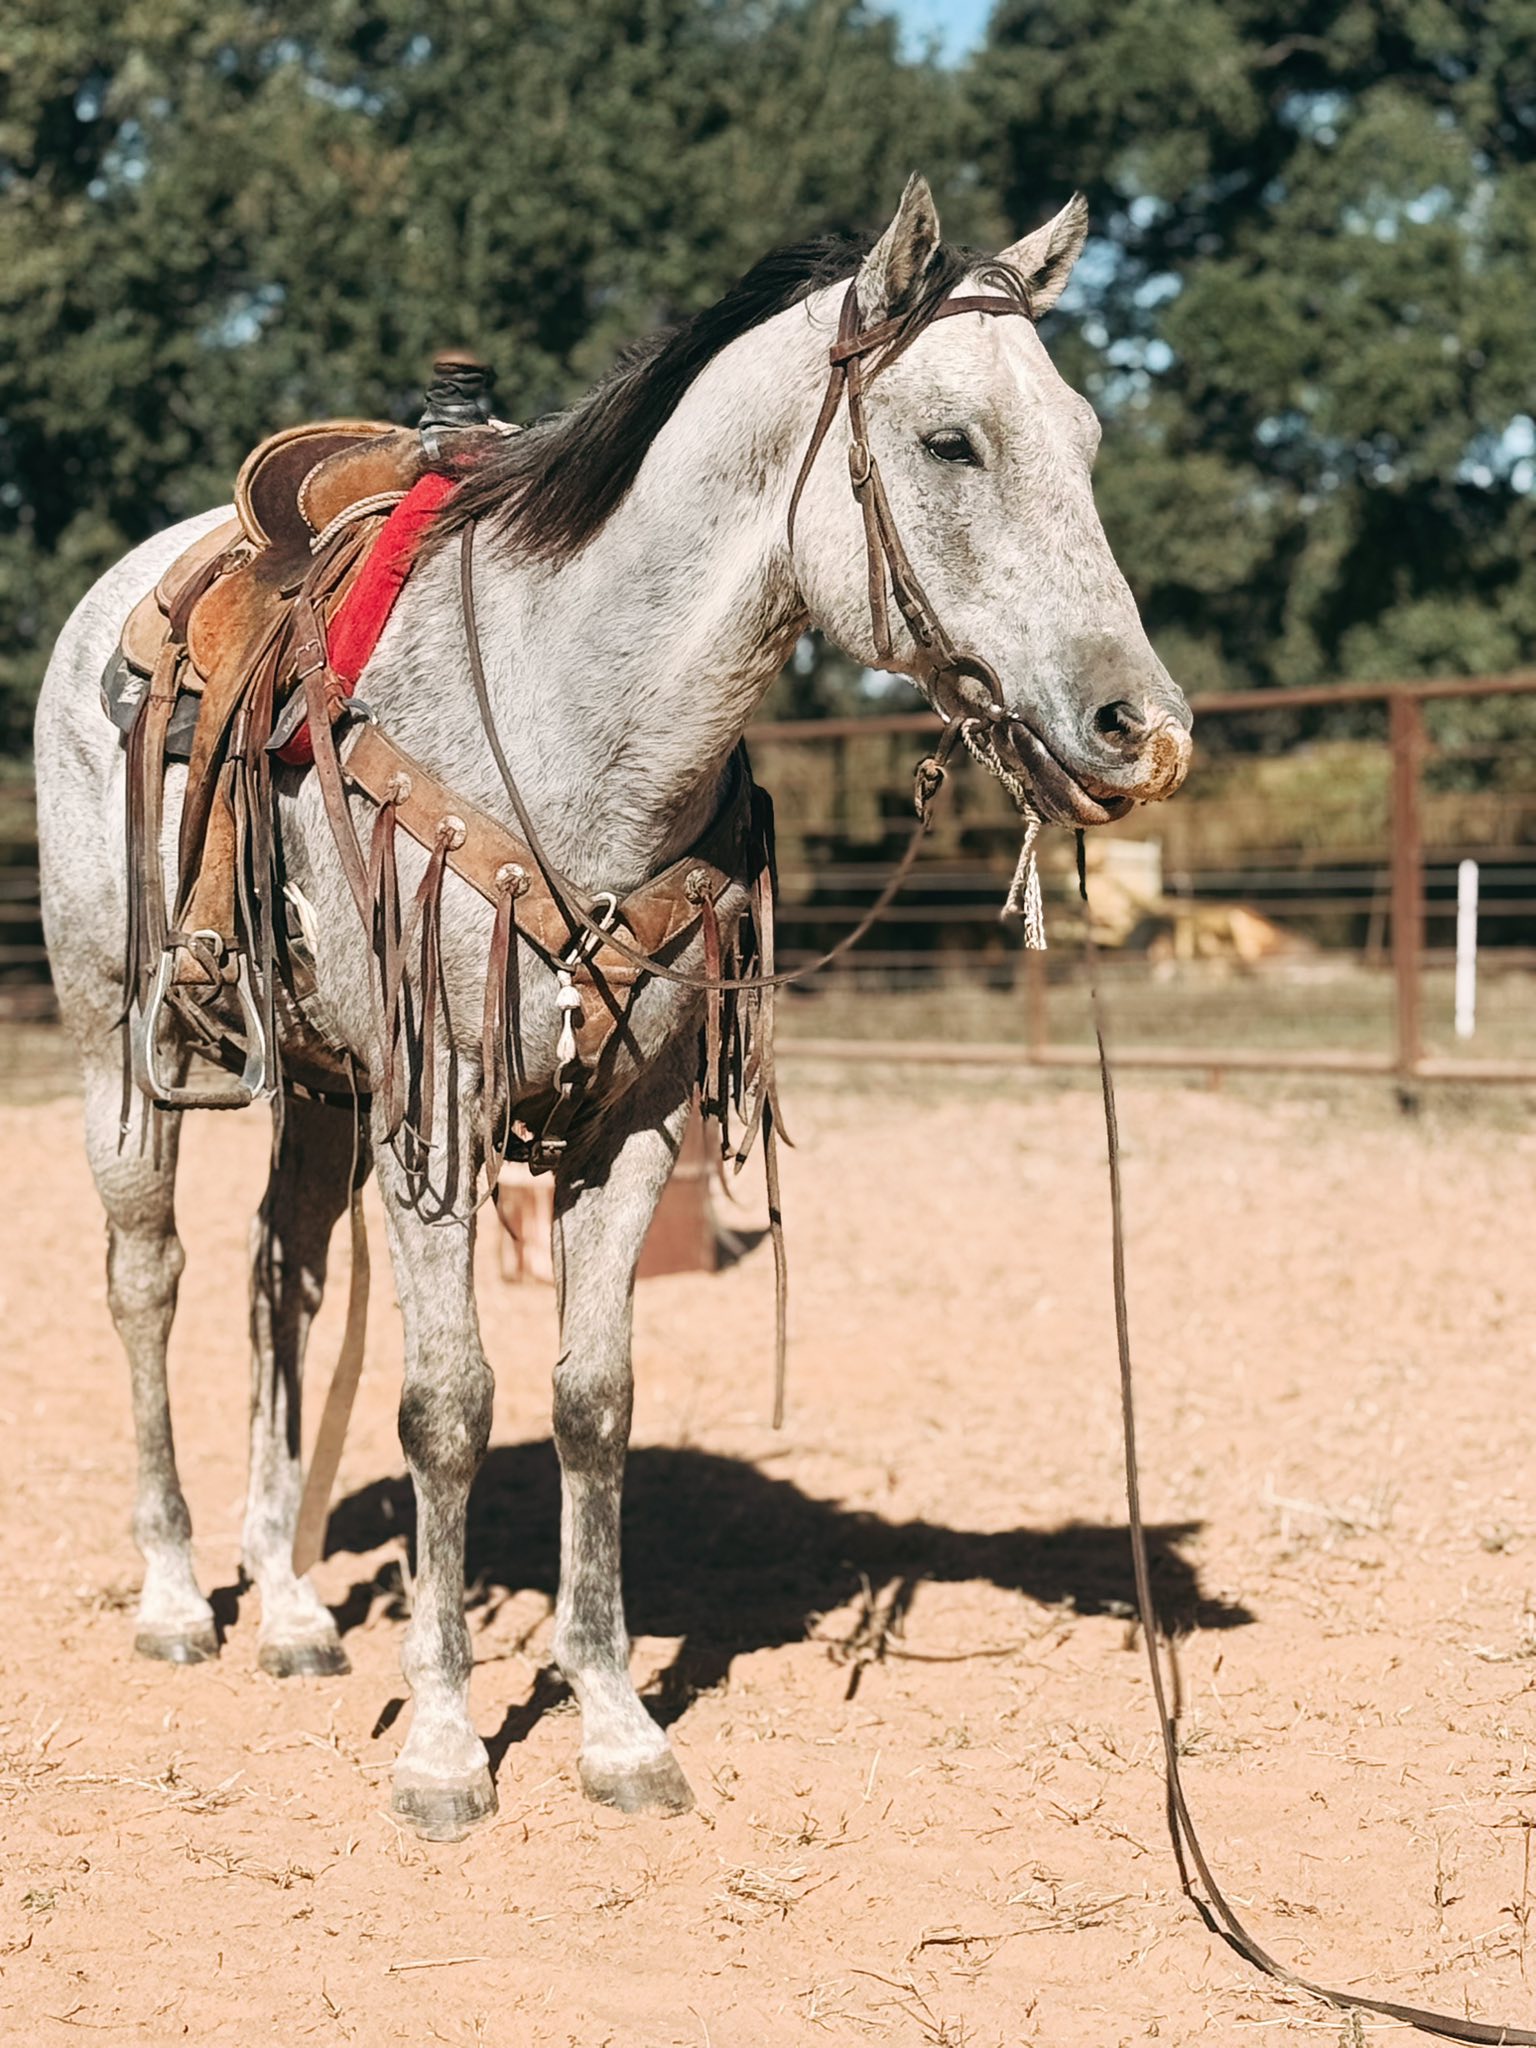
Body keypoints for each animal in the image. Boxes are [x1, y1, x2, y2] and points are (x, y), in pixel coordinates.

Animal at [34, 175, 1192, 1842]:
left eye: (1089, 438)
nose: (1141, 730)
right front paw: (444, 1746)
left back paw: (294, 1609)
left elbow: (594, 1400)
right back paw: (180, 1593)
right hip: (119, 1039)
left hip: (318, 1091)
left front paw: (614, 1723)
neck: (574, 719)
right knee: (150, 1278)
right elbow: (447, 1406)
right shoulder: (434, 1121)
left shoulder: (629, 1126)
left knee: (280, 1285)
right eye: (950, 441)